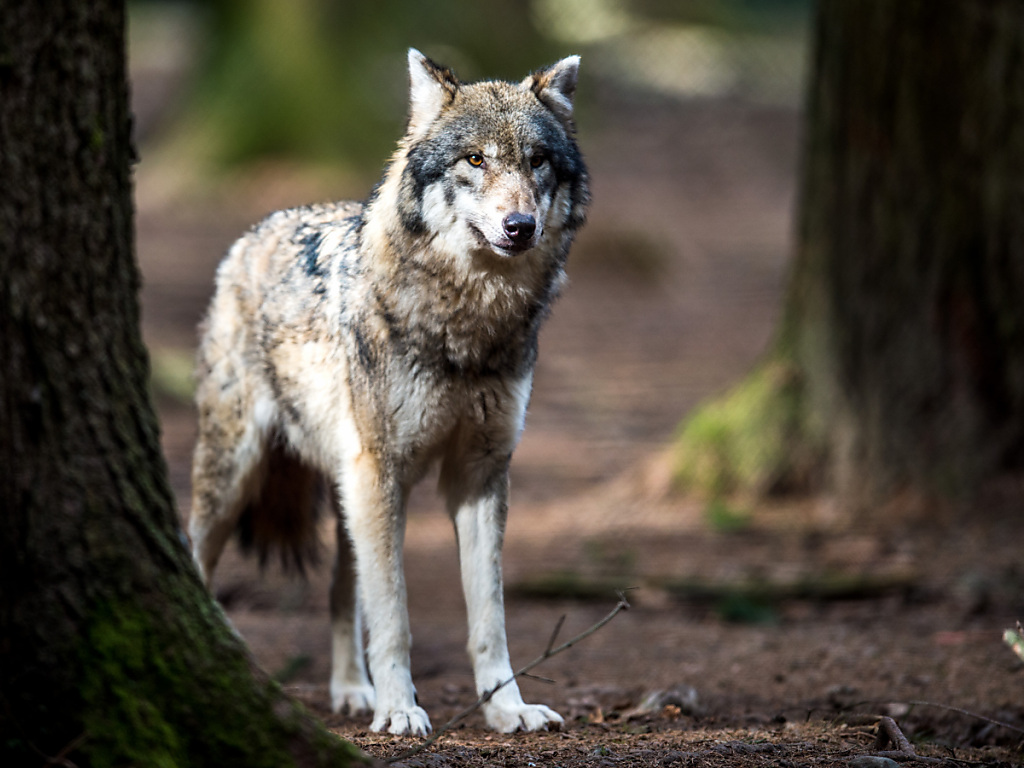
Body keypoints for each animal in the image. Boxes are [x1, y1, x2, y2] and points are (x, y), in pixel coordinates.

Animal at [188, 49, 589, 736]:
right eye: (474, 160)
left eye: (537, 160)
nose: (520, 227)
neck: (467, 327)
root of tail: (257, 230)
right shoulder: (383, 471)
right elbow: (395, 616)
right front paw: (402, 710)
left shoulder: (479, 474)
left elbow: (490, 618)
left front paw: (506, 709)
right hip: (241, 477)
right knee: (196, 557)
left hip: (349, 490)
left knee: (339, 593)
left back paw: (353, 691)